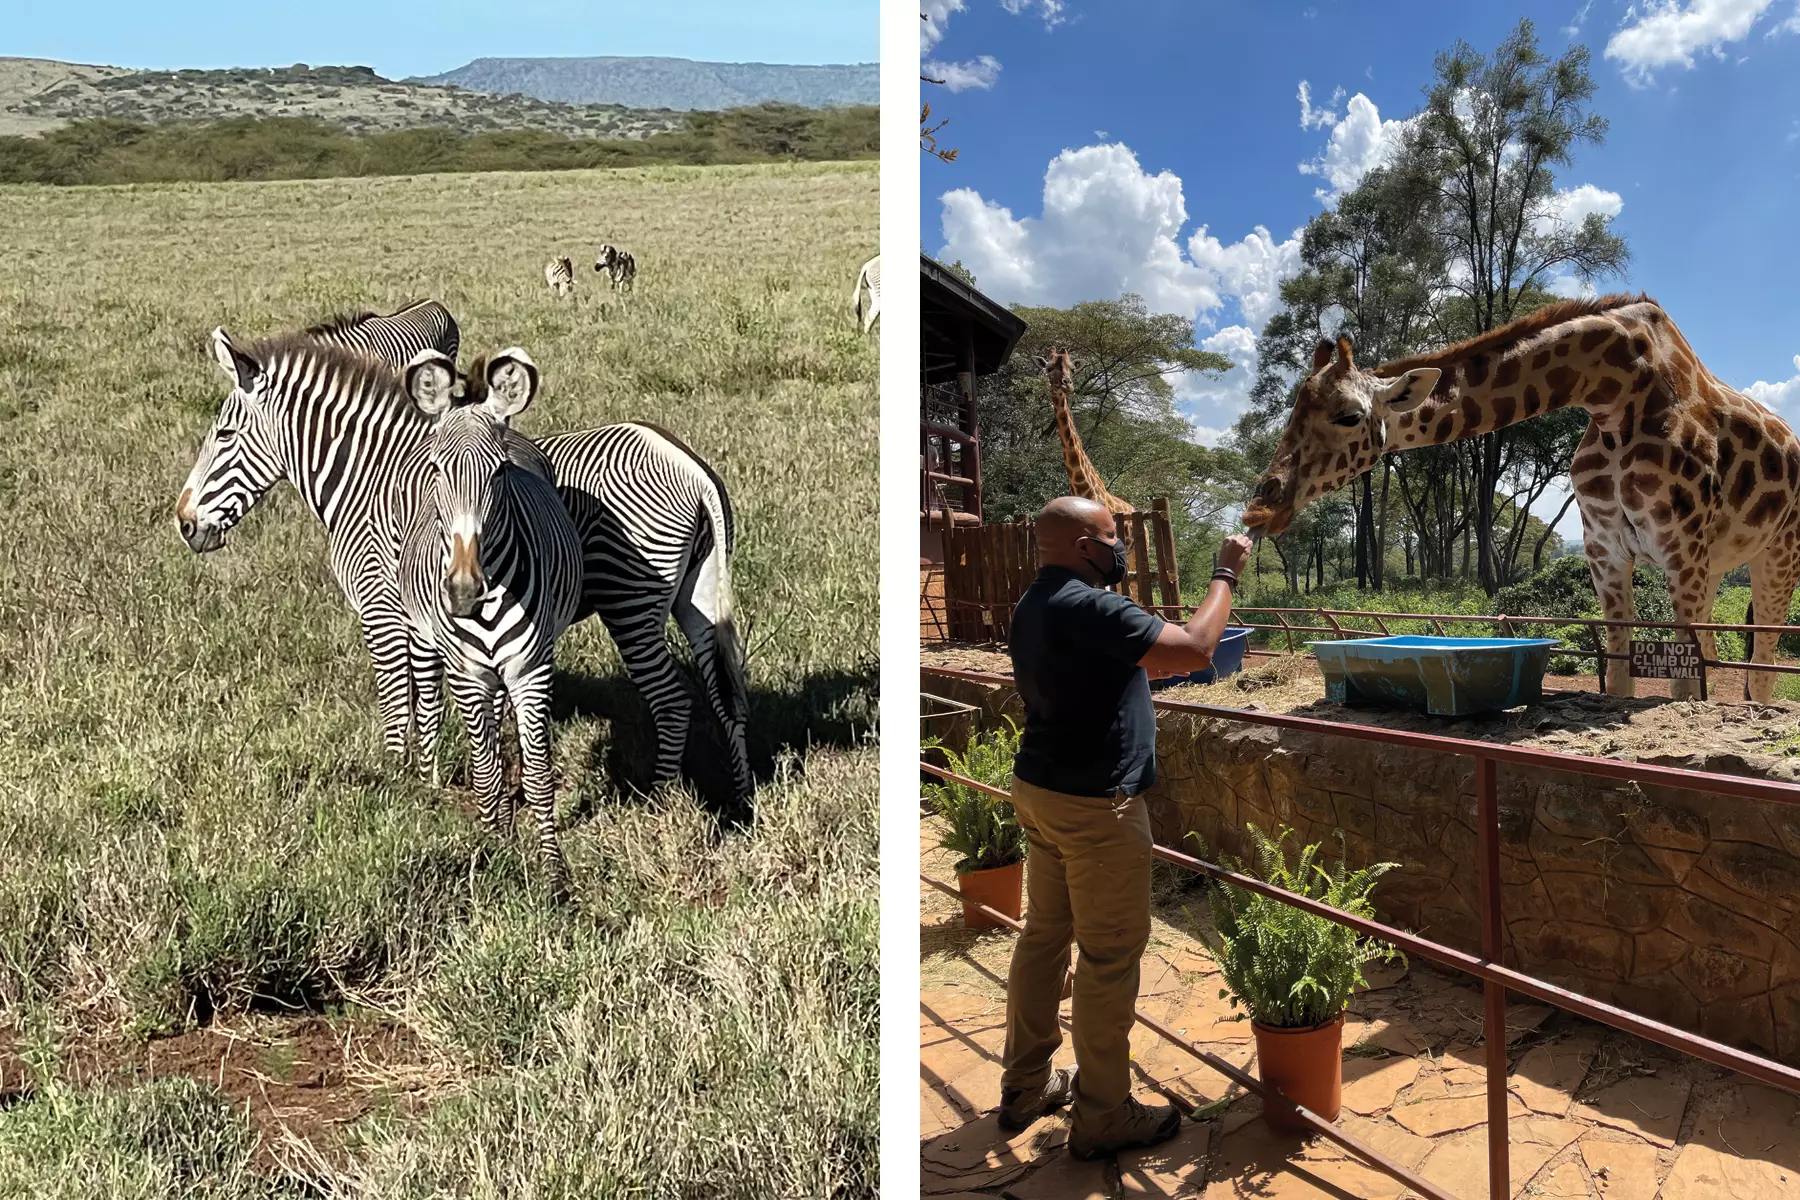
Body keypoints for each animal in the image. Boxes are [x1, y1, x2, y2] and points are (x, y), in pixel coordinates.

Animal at [177, 309, 752, 816]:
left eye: (223, 435)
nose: (184, 523)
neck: (370, 479)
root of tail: (690, 463)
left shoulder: (382, 612)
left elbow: (400, 703)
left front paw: (402, 786)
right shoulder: (431, 621)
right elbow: (439, 701)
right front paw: (446, 784)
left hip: (630, 600)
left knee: (673, 701)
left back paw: (659, 798)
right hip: (696, 597)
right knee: (727, 696)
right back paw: (743, 799)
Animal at [388, 347, 579, 892]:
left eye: (498, 473)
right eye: (435, 470)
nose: (463, 591)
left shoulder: (531, 671)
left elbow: (537, 775)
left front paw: (553, 872)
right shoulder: (467, 674)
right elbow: (483, 765)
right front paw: (494, 841)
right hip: (436, 647)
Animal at [1245, 293, 1800, 705]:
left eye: (1348, 416)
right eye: (1294, 407)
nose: (1261, 505)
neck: (1613, 396)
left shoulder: (1681, 551)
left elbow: (1688, 684)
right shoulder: (1605, 553)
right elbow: (1621, 673)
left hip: (1777, 555)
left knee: (1765, 661)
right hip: (1724, 561)